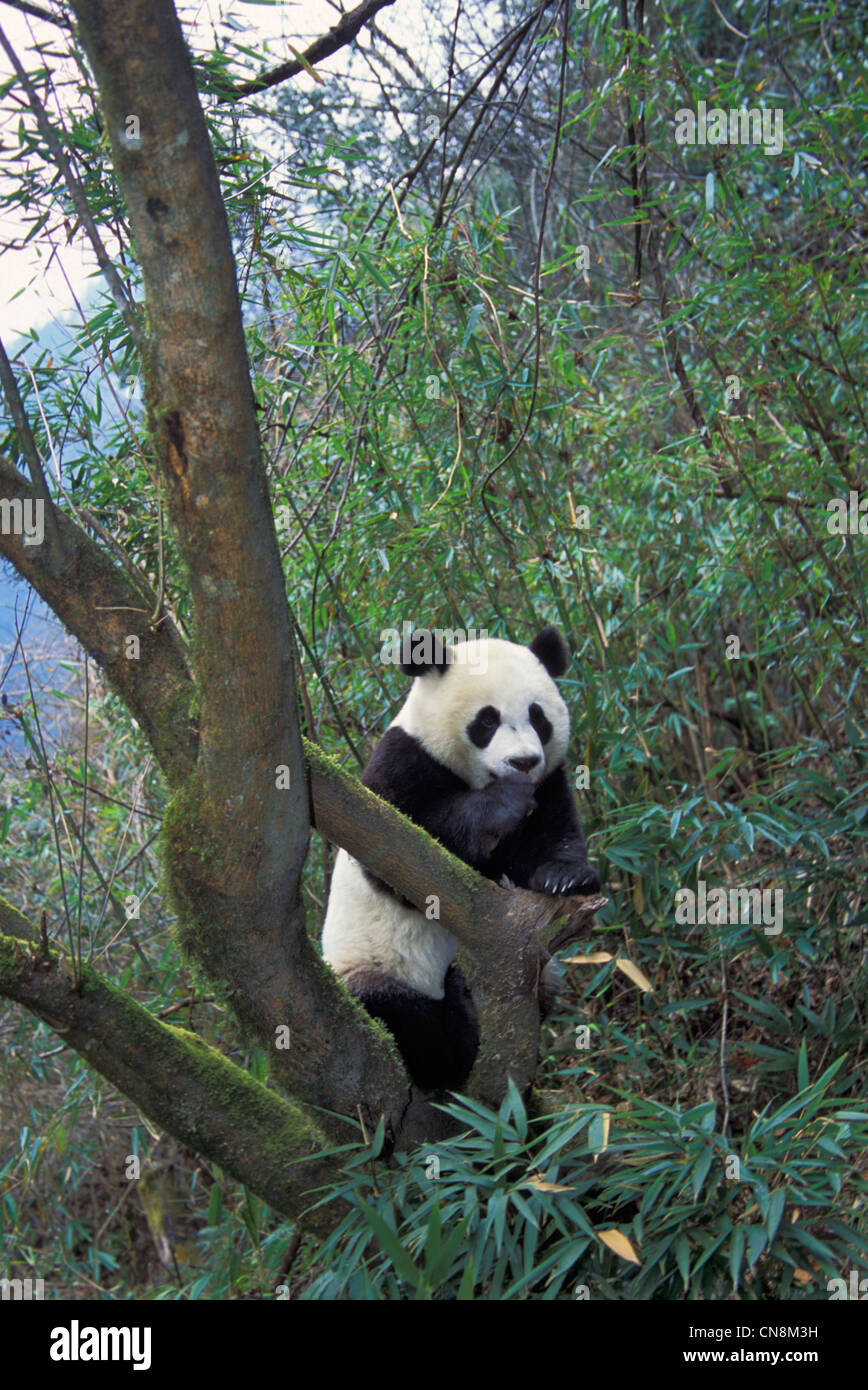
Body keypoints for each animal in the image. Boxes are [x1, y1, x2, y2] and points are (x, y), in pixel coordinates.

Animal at [321, 625, 600, 1093]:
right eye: (487, 720)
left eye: (538, 717)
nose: (523, 761)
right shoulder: (399, 766)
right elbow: (402, 860)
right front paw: (503, 803)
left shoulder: (549, 781)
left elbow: (551, 835)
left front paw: (567, 877)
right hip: (373, 967)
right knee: (398, 1012)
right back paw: (456, 1038)